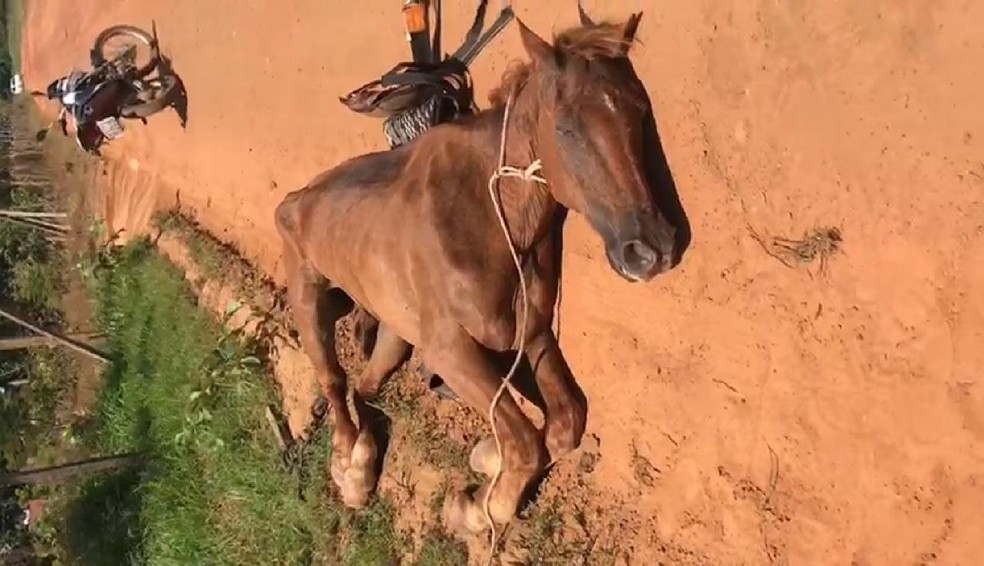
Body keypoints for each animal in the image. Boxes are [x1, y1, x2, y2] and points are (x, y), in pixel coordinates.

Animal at [274, 10, 679, 535]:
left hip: (396, 333)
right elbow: (525, 442)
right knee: (335, 382)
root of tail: (295, 199)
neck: (492, 216)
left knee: (365, 389)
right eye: (567, 128)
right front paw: (474, 508)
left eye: (641, 112)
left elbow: (565, 422)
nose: (651, 250)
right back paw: (350, 470)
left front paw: (488, 461)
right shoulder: (450, 350)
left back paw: (362, 459)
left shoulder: (528, 332)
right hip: (310, 302)